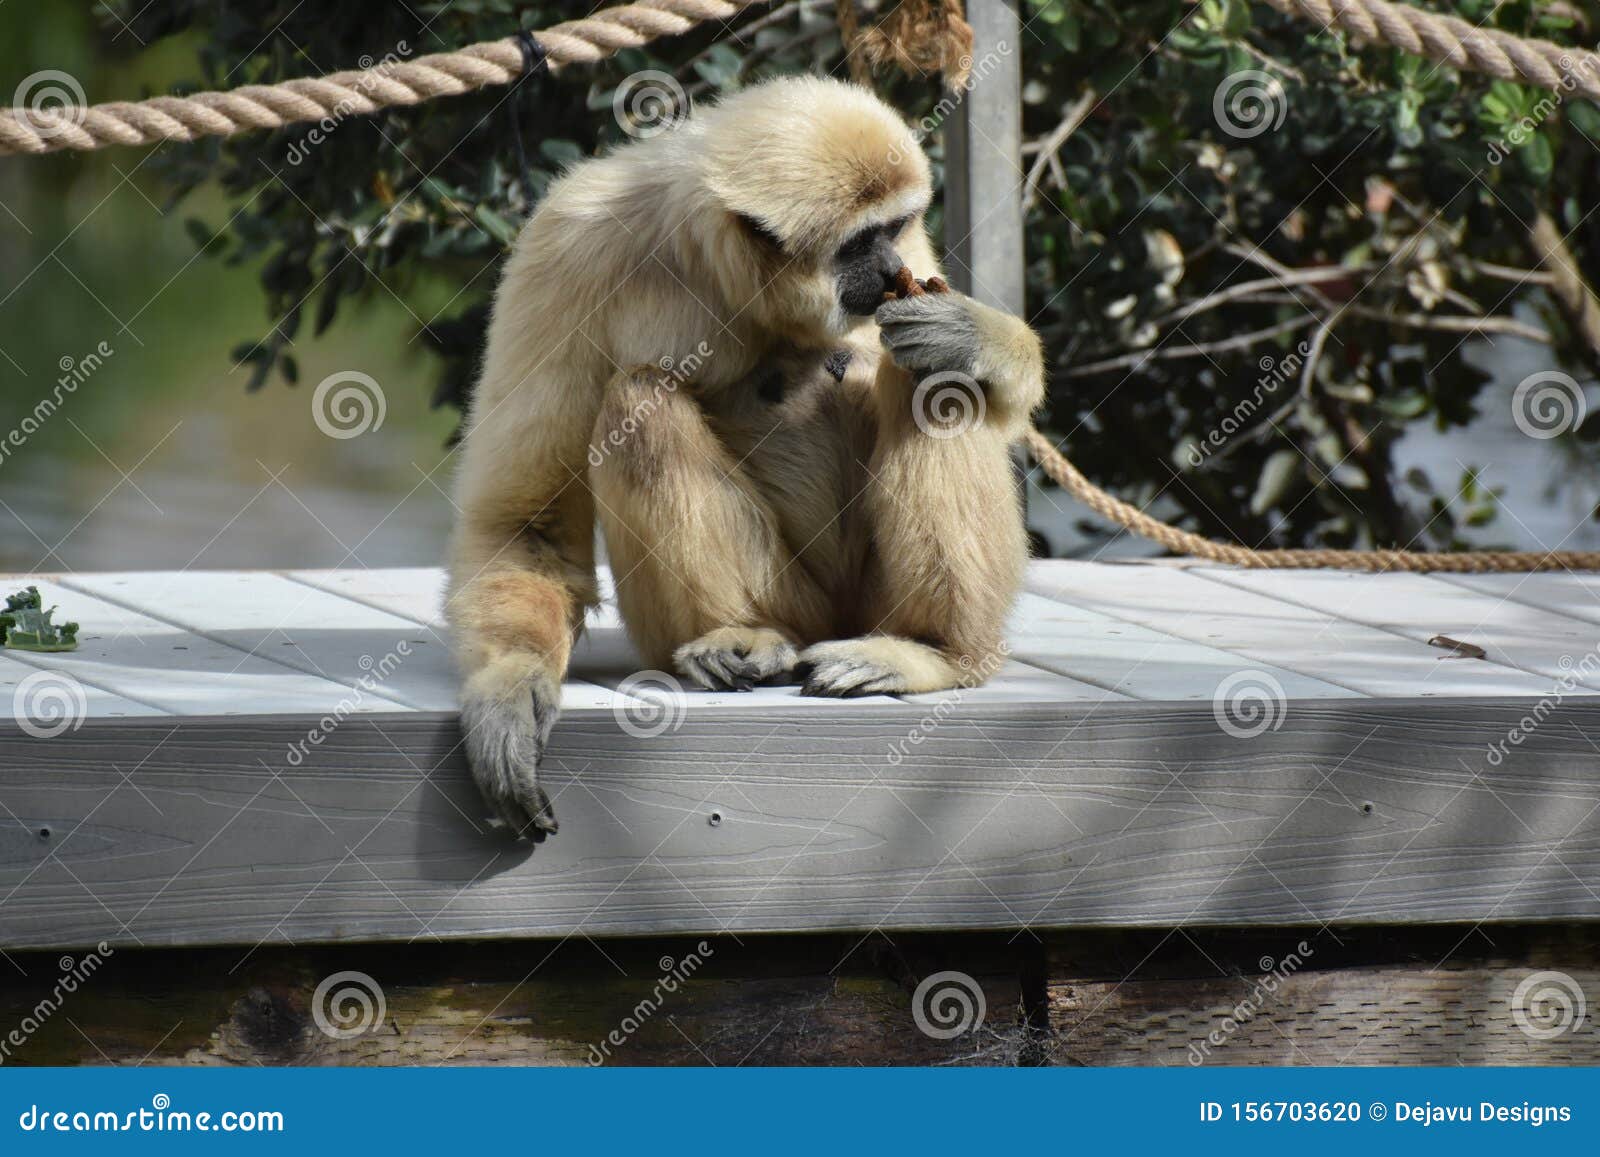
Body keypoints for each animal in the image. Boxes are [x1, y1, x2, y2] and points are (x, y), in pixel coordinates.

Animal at [446, 75, 1045, 838]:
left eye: (895, 228)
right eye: (861, 241)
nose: (890, 268)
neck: (721, 272)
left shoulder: (913, 284)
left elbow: (978, 387)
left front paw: (978, 337)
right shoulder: (568, 245)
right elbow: (529, 518)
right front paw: (509, 690)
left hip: (869, 600)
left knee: (929, 376)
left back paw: (931, 650)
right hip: (776, 604)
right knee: (638, 401)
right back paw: (741, 636)